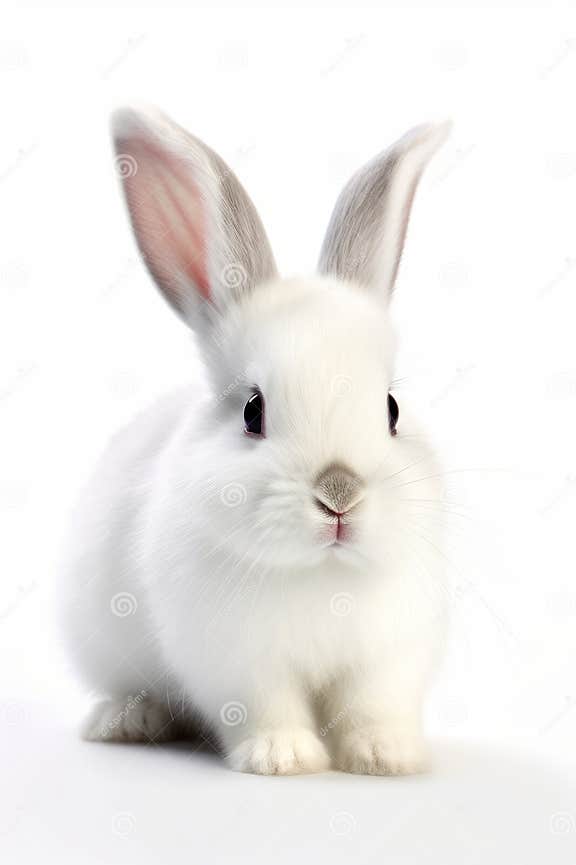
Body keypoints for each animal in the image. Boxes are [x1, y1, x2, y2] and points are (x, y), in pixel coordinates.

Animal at [60, 105, 450, 776]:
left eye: (392, 409)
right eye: (252, 410)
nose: (339, 493)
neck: (321, 575)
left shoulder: (387, 657)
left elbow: (373, 706)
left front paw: (386, 757)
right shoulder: (239, 664)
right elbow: (266, 707)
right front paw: (283, 757)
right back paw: (127, 720)